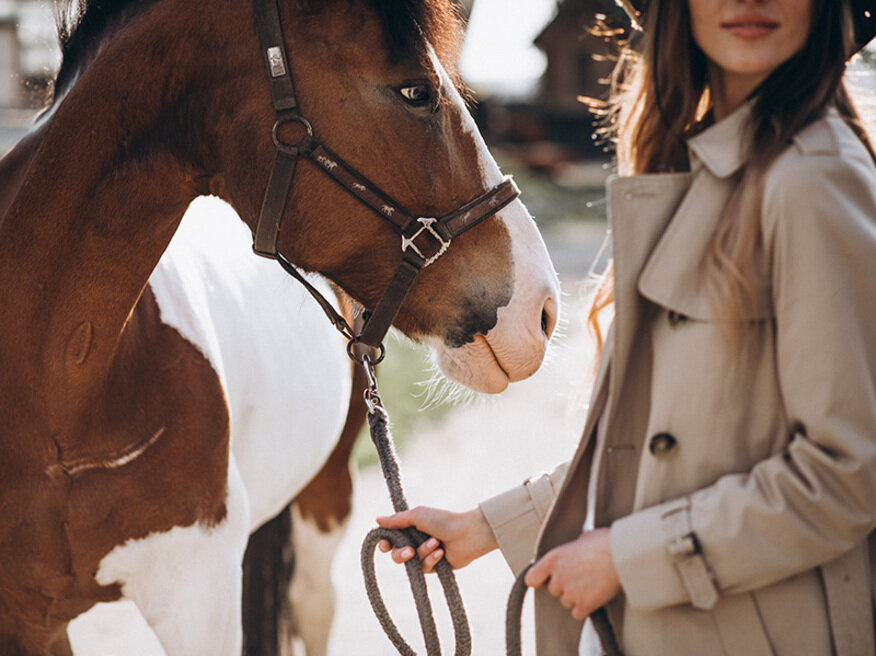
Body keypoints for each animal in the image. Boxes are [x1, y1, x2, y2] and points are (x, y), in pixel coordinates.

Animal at [0, 0, 560, 653]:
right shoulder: (34, 620)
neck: (57, 414)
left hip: (325, 498)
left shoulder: (197, 600)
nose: (541, 310)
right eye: (415, 91)